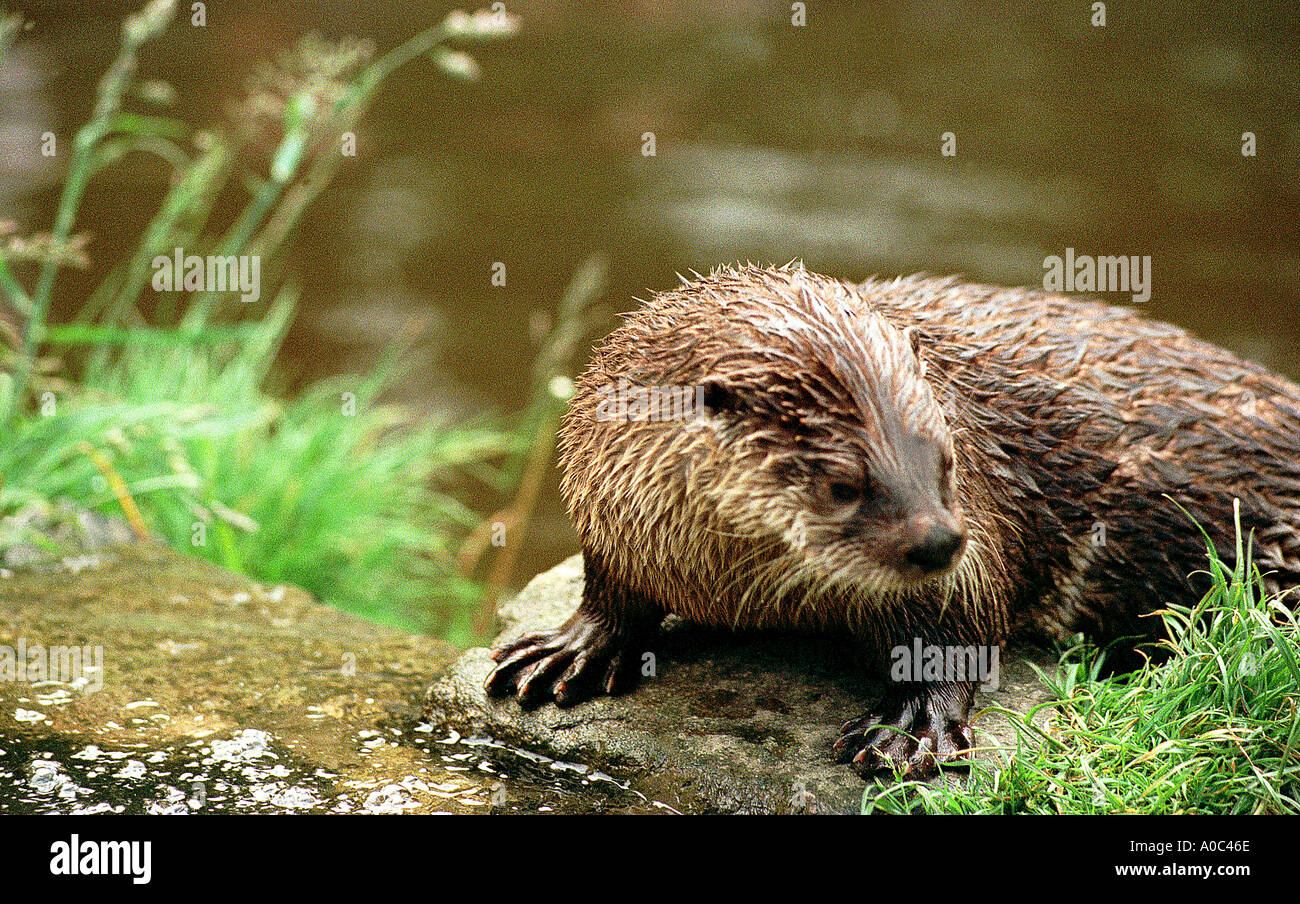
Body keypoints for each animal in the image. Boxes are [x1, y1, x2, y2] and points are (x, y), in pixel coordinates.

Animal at [484, 264, 1300, 778]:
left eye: (943, 460)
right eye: (844, 484)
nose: (939, 539)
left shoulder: (979, 524)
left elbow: (962, 622)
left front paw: (908, 730)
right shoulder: (614, 505)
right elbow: (611, 586)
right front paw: (569, 649)